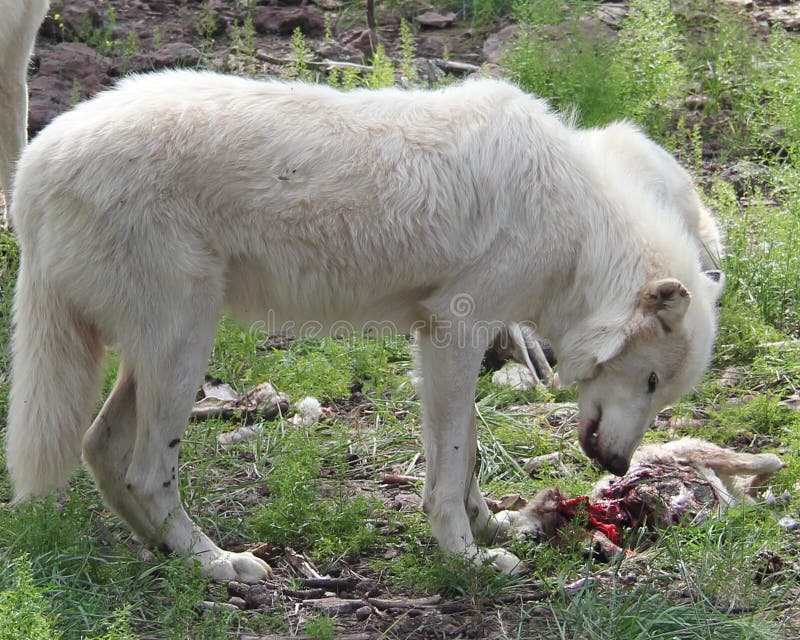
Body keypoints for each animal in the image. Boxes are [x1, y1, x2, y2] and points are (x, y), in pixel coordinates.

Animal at [6, 71, 725, 581]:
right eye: (651, 381)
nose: (619, 464)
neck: (574, 228)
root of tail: (34, 167)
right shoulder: (454, 335)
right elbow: (450, 469)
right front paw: (466, 559)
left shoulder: (450, 342)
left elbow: (466, 462)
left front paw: (494, 530)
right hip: (183, 347)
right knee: (145, 471)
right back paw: (218, 566)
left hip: (155, 352)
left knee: (98, 446)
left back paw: (165, 555)